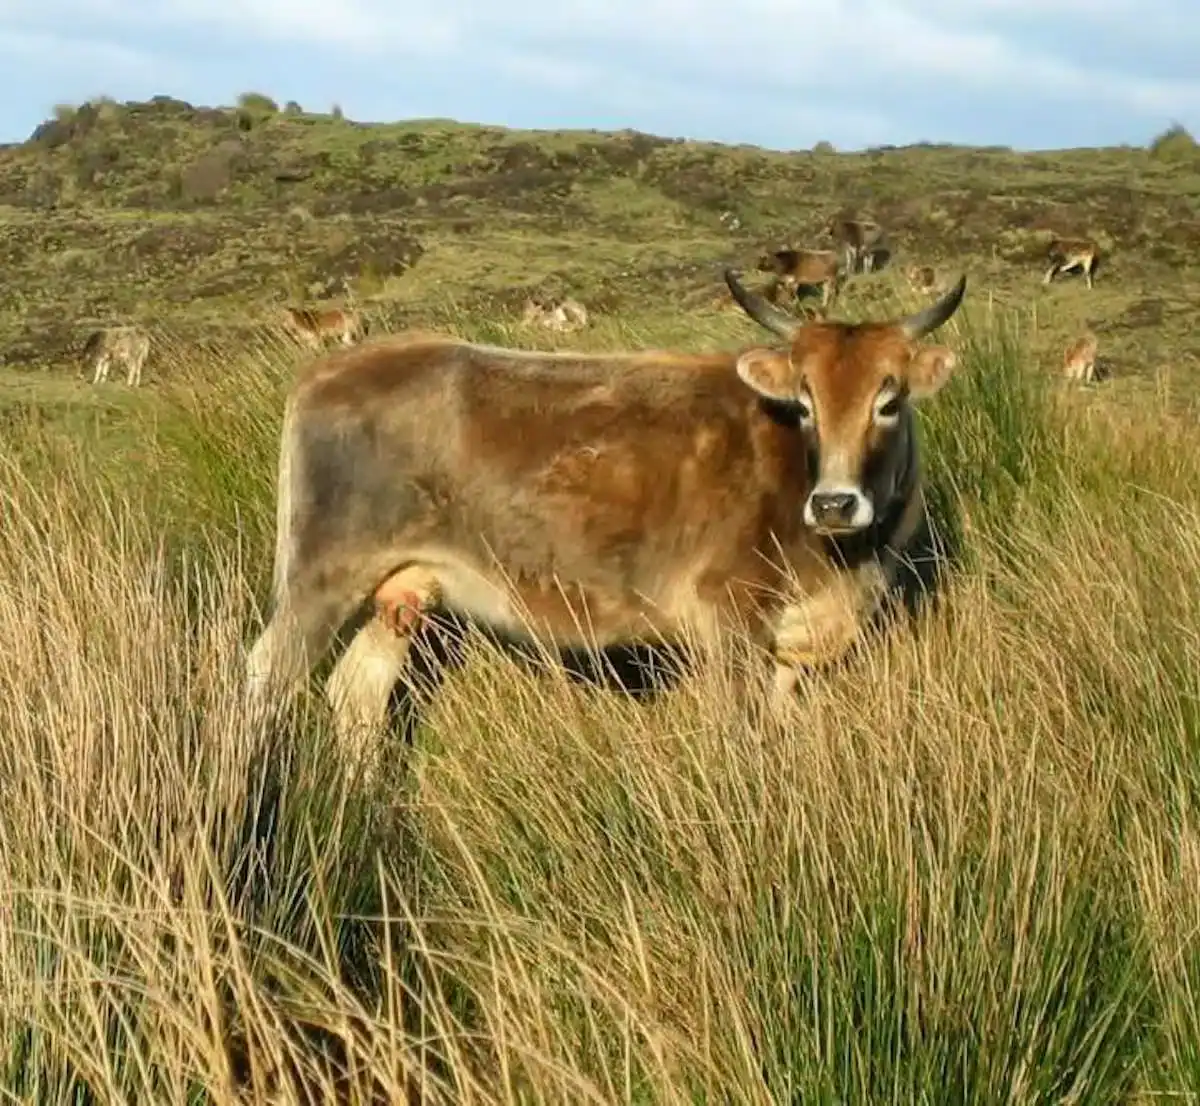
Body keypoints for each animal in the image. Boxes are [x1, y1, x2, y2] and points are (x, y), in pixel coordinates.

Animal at [243, 267, 968, 773]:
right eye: (805, 400)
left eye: (890, 400)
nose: (835, 503)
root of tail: (332, 366)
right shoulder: (728, 620)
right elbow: (737, 736)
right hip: (322, 579)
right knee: (264, 680)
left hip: (403, 590)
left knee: (357, 697)